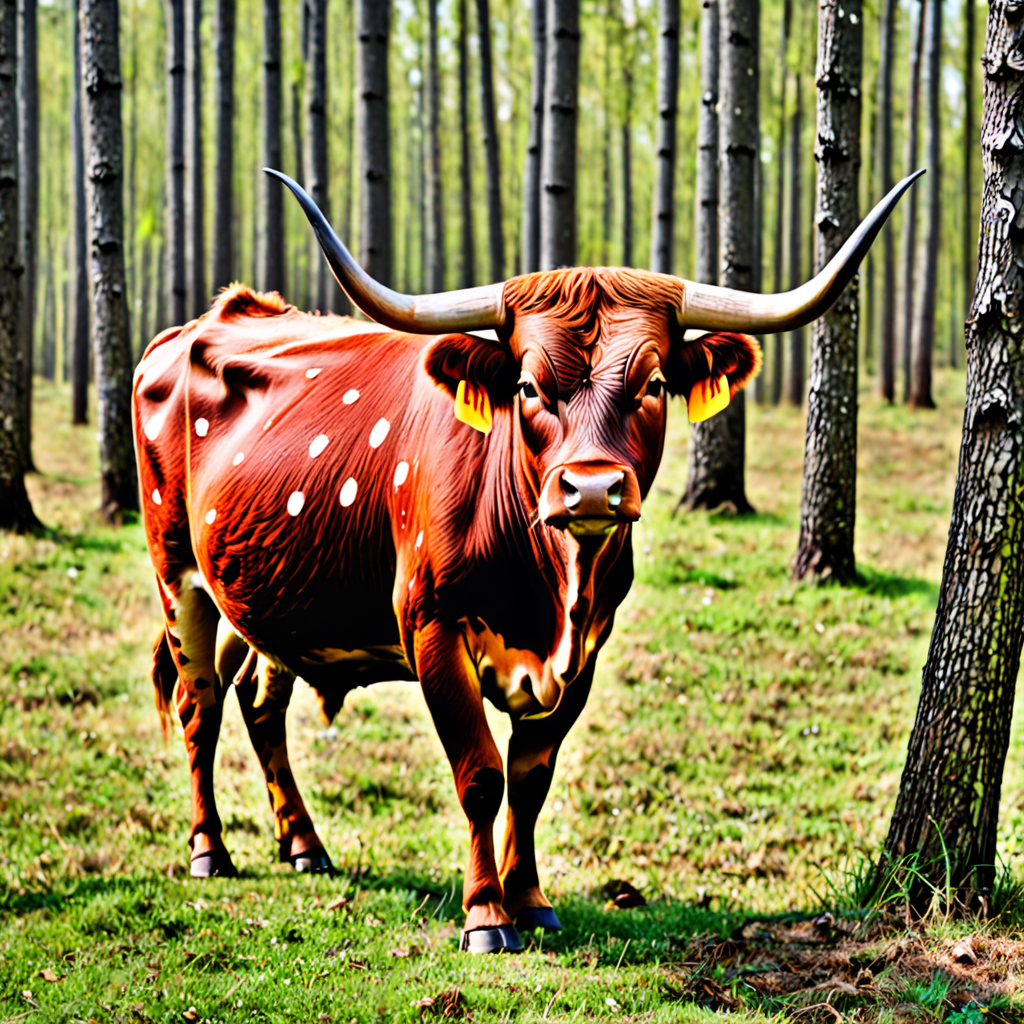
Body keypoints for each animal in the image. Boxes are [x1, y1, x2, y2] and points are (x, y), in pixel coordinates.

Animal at [133, 168, 921, 953]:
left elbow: (532, 778)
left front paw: (532, 901)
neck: (551, 593)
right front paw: (485, 913)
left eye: (654, 385)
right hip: (179, 577)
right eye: (529, 387)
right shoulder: (431, 627)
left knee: (259, 701)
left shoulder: (587, 649)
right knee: (199, 701)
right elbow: (480, 773)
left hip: (274, 599)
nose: (593, 487)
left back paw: (303, 844)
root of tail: (202, 323)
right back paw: (210, 850)